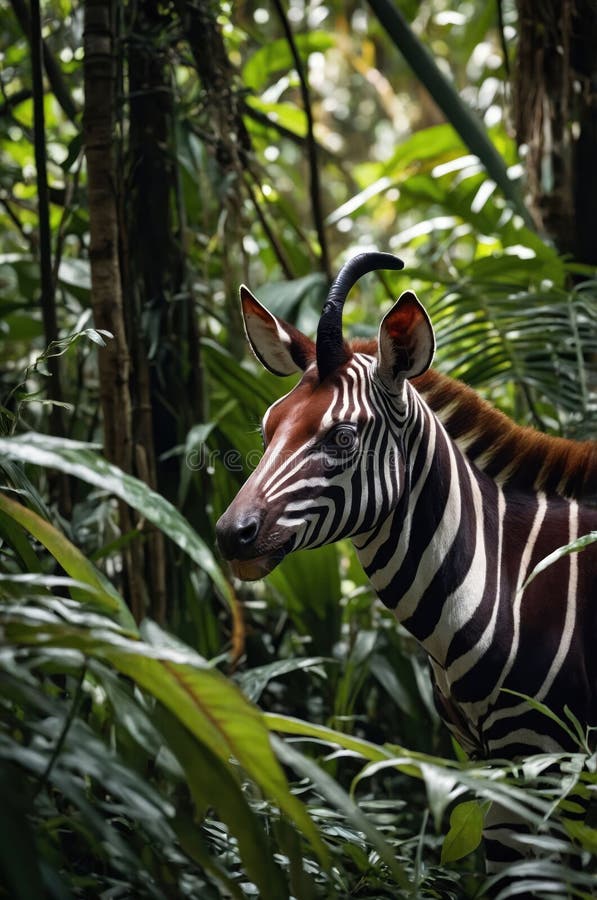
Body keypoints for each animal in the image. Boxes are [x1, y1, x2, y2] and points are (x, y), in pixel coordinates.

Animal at [215, 252, 597, 885]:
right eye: (267, 430)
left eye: (343, 437)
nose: (229, 535)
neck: (506, 591)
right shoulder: (497, 771)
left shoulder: (547, 763)